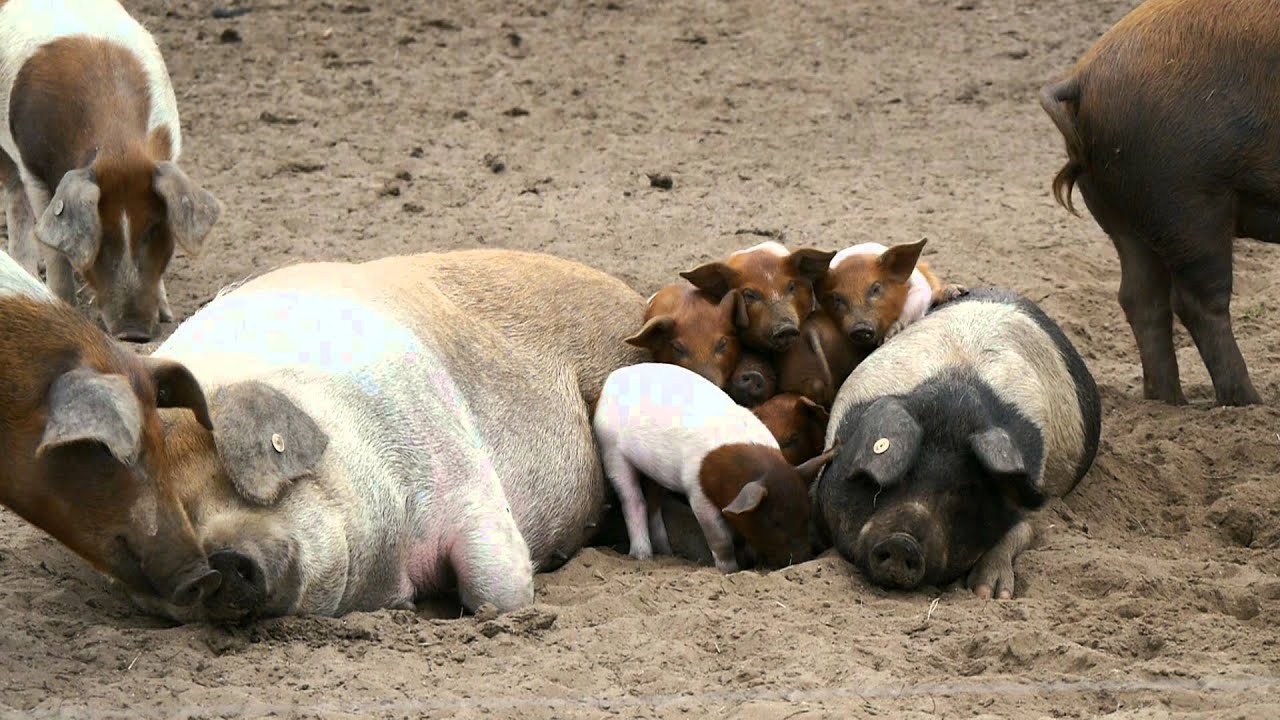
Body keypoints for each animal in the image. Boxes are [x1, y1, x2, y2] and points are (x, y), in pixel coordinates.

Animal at [0, 0, 222, 342]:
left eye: (154, 229)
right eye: (100, 234)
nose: (134, 334)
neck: (118, 149)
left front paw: (167, 315)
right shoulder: (33, 172)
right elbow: (54, 251)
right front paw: (65, 306)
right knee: (15, 202)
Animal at [593, 362, 836, 572]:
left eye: (806, 513)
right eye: (775, 521)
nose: (803, 559)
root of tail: (610, 380)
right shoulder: (697, 492)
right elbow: (721, 539)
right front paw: (730, 571)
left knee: (653, 502)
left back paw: (666, 552)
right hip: (611, 450)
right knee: (633, 501)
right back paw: (643, 556)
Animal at [813, 288, 1101, 599]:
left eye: (965, 490)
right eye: (890, 482)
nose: (902, 542)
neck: (951, 408)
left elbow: (1025, 528)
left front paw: (990, 594)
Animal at [820, 239, 963, 349]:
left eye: (876, 288)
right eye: (836, 298)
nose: (861, 327)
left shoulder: (919, 287)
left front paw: (887, 338)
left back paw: (956, 291)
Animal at [1039, 0, 1280, 406]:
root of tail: (1082, 77)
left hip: (1123, 214)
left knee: (1140, 298)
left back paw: (1168, 402)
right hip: (1188, 203)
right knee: (1198, 301)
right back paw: (1249, 403)